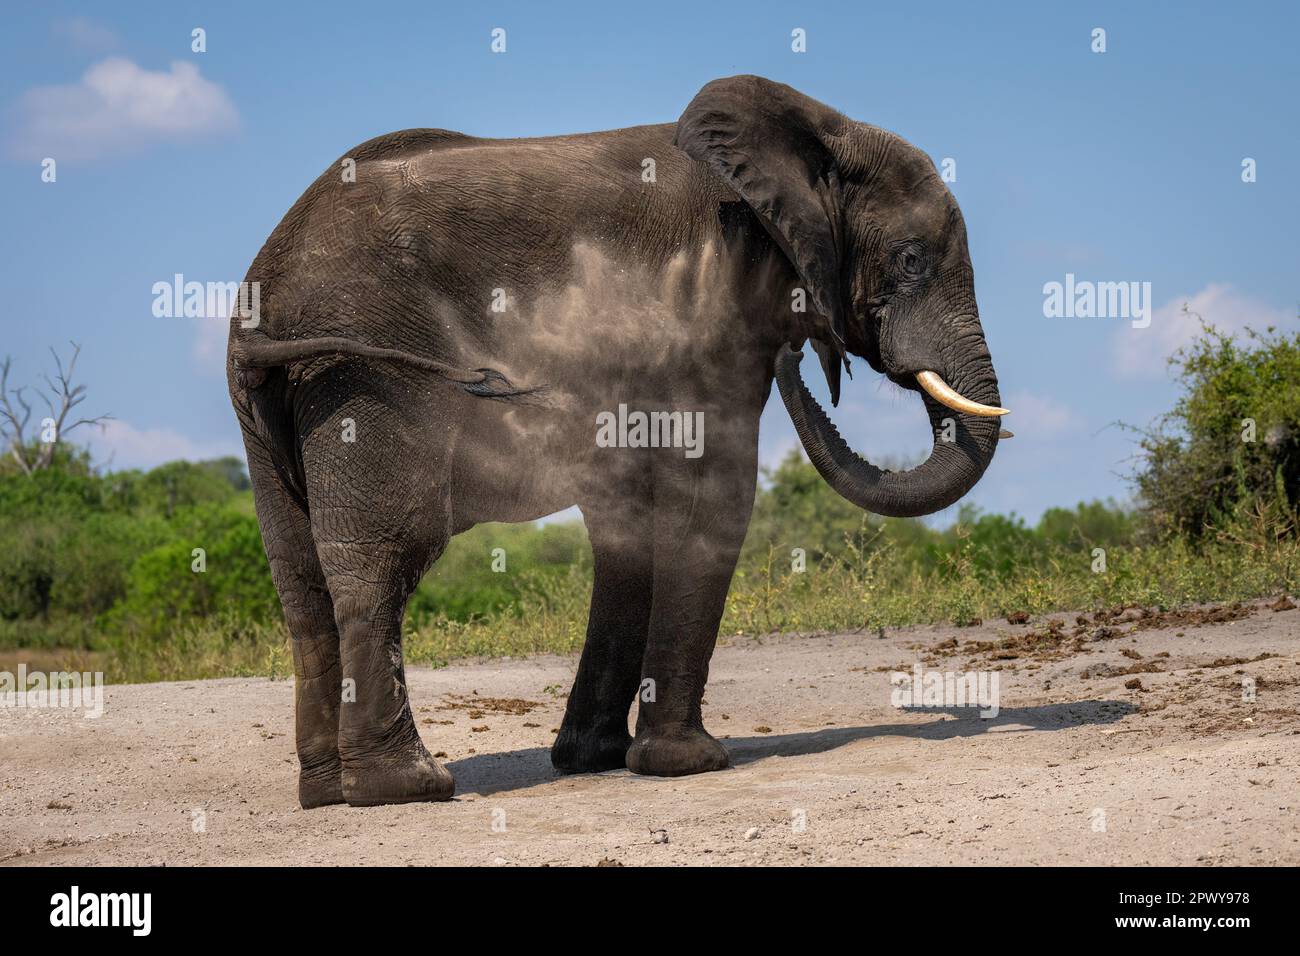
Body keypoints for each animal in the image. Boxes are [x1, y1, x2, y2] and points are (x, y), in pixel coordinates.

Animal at [227, 74, 1008, 808]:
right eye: (911, 262)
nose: (803, 357)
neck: (819, 130)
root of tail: (267, 289)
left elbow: (625, 531)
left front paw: (594, 759)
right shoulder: (712, 318)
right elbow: (713, 499)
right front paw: (691, 764)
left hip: (276, 410)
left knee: (301, 584)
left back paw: (326, 793)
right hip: (363, 380)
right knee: (382, 563)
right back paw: (409, 787)